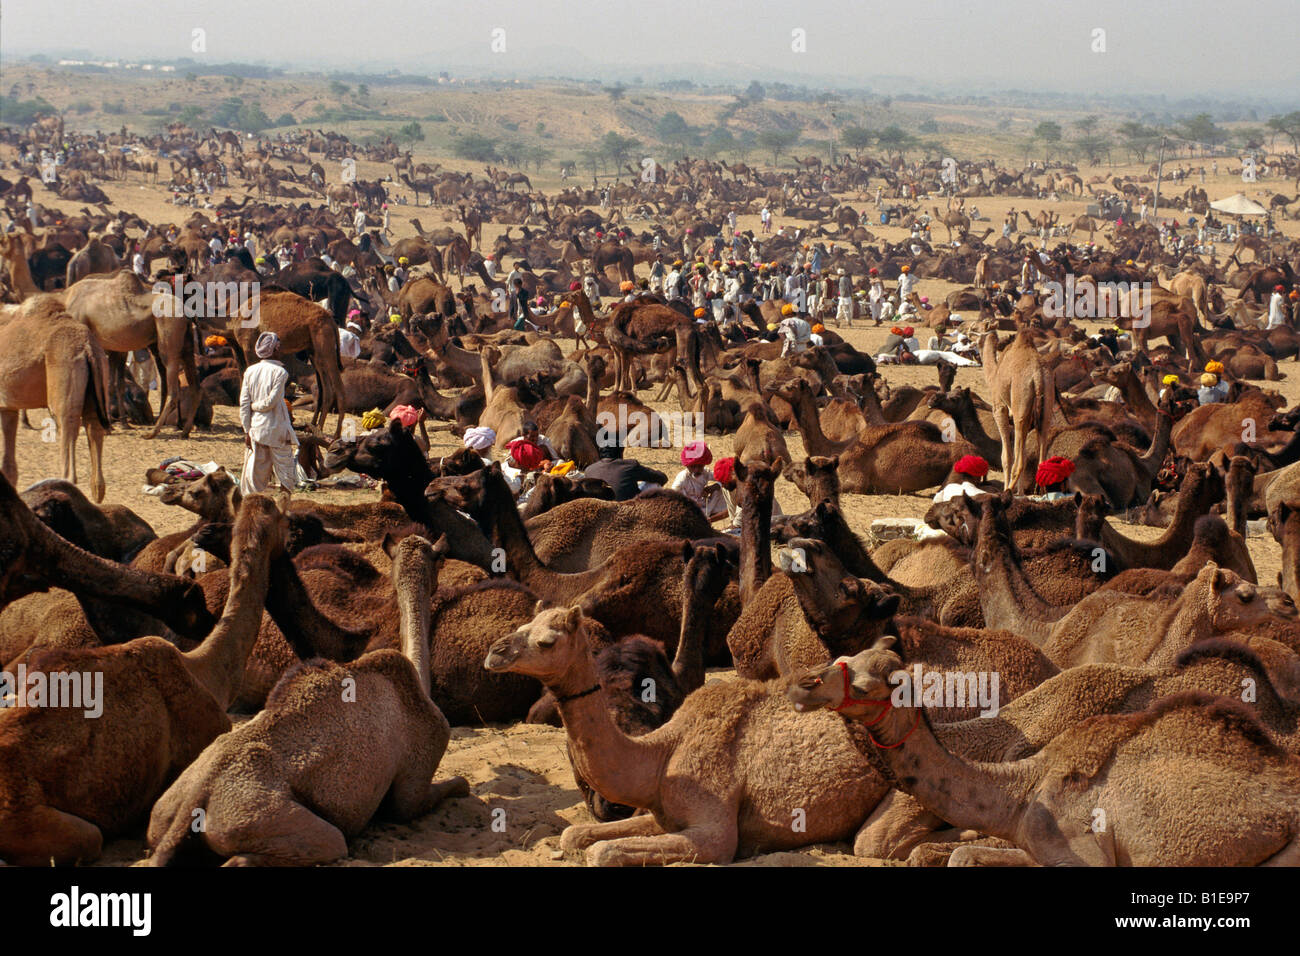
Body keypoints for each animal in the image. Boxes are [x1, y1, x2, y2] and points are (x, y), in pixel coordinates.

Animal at [0, 298, 110, 502]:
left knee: (67, 425)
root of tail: (87, 346)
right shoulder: (8, 405)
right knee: (94, 427)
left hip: (64, 373)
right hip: (100, 375)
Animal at [145, 534, 468, 866]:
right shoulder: (418, 772)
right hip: (285, 825)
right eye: (440, 562)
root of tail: (196, 801)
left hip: (160, 817)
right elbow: (448, 789)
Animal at [485, 605, 893, 866]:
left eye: (547, 641)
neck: (662, 754)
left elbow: (601, 852)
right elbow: (575, 836)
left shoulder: (715, 832)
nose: (494, 652)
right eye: (523, 626)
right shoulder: (664, 813)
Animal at [789, 637, 1300, 866]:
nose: (800, 683)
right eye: (843, 657)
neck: (1024, 789)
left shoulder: (1085, 854)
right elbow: (964, 855)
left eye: (864, 684)